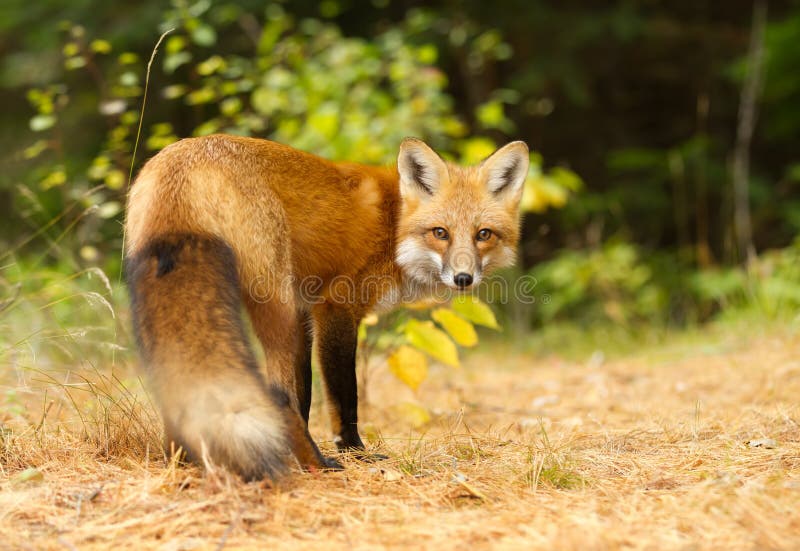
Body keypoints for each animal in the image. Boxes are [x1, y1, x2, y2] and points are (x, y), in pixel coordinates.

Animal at [124, 134, 529, 479]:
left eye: (483, 234)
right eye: (440, 233)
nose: (463, 278)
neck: (393, 225)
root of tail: (183, 161)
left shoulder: (306, 312)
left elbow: (304, 396)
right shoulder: (336, 308)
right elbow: (344, 397)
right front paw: (355, 453)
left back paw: (183, 462)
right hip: (277, 306)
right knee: (277, 394)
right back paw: (317, 465)